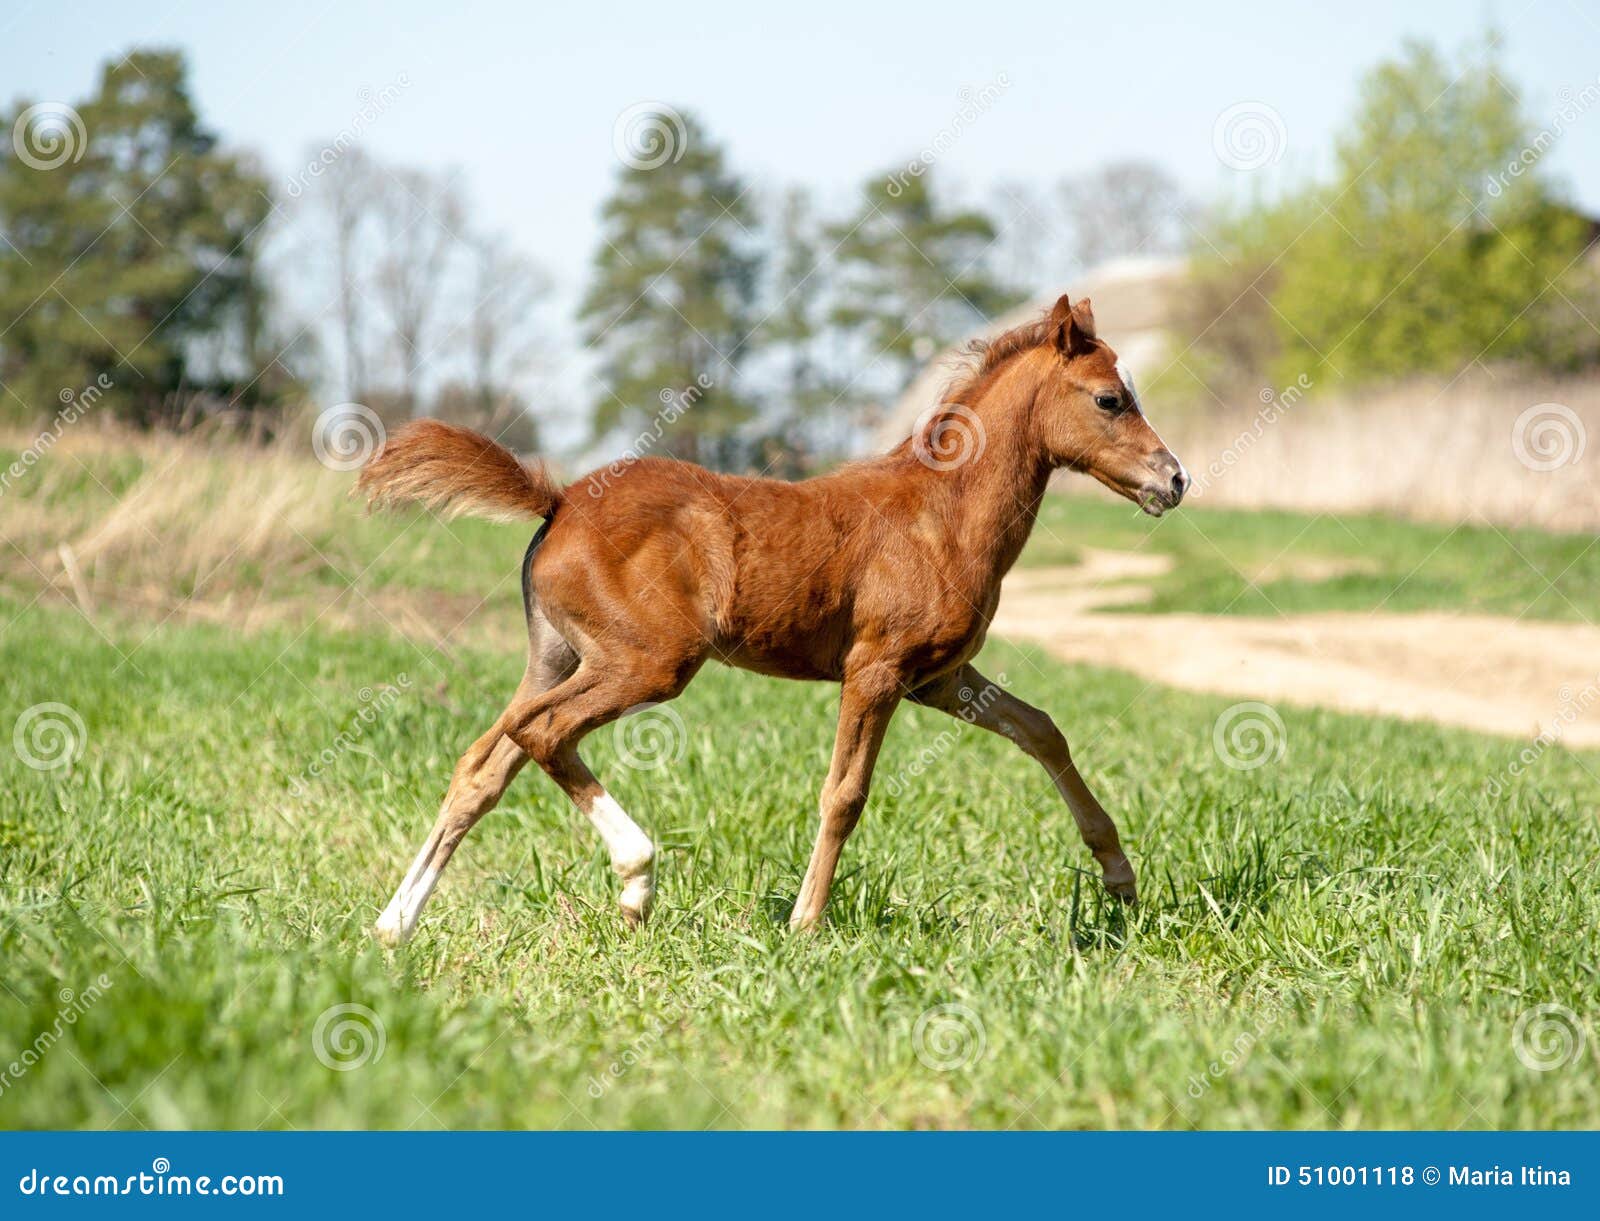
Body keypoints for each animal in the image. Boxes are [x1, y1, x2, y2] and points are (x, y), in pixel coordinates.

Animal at [359, 293, 1188, 944]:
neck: (941, 514)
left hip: (559, 656)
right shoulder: (877, 669)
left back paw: (395, 924)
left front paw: (1119, 876)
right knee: (544, 733)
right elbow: (845, 793)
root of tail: (557, 502)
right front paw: (805, 922)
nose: (1175, 478)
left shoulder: (943, 678)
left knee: (485, 763)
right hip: (648, 662)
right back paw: (636, 879)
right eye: (1109, 399)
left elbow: (1043, 729)